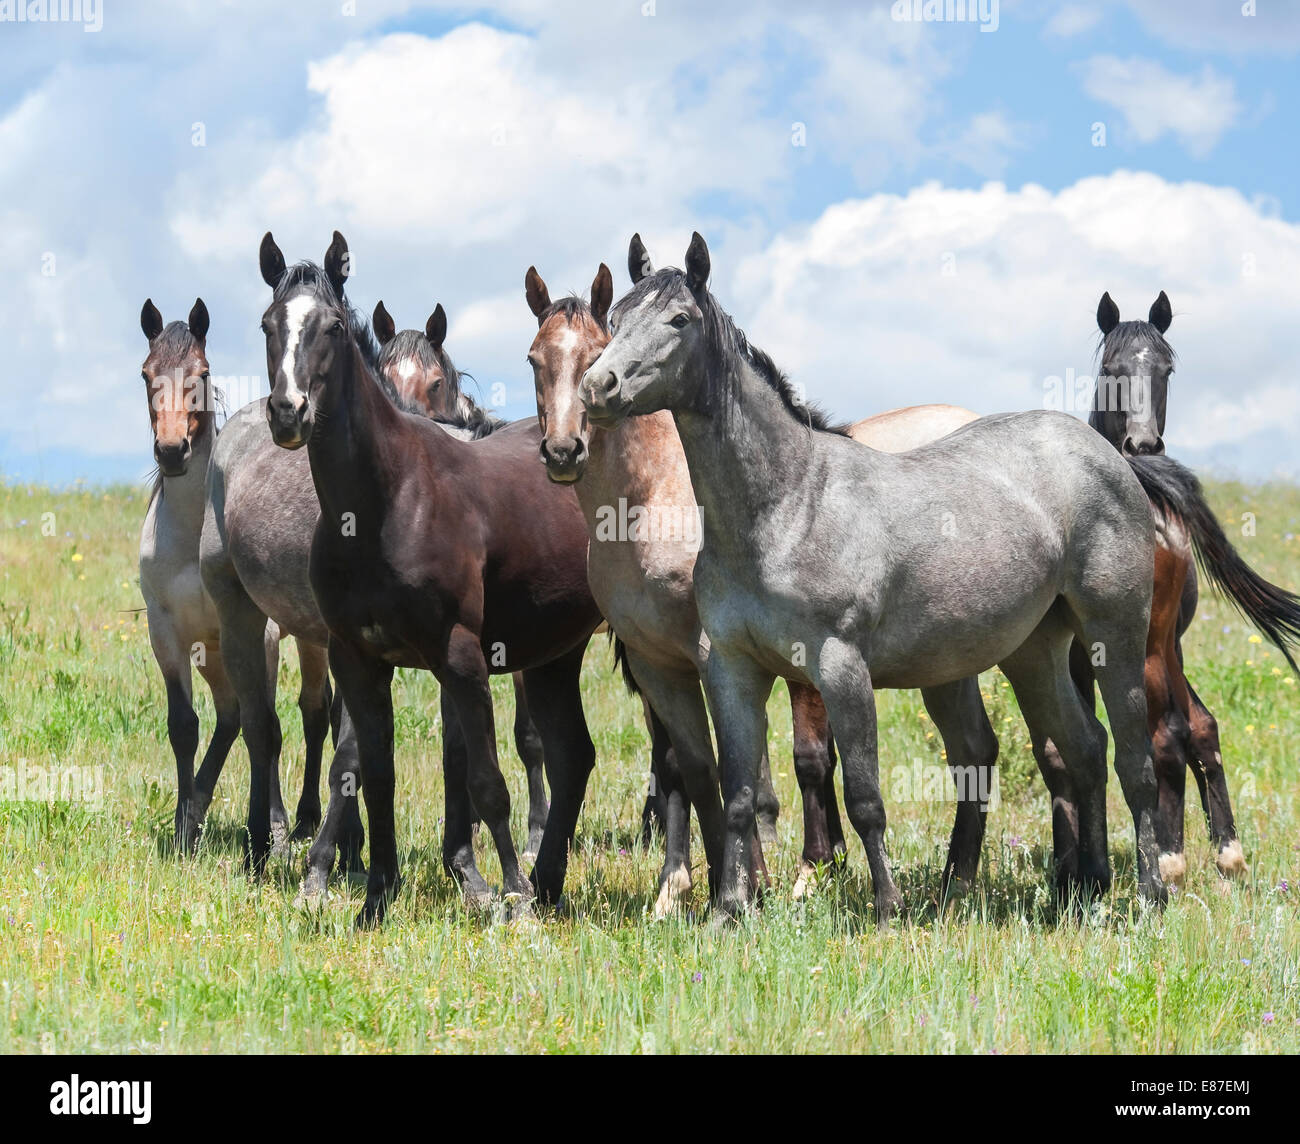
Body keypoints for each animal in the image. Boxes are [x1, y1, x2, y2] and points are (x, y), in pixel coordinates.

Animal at [139, 298, 328, 854]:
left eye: (201, 374)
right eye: (146, 375)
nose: (171, 451)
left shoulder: (261, 636)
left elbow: (270, 726)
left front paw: (275, 829)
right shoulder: (168, 635)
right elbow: (185, 726)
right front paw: (184, 826)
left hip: (308, 640)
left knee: (314, 713)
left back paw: (304, 820)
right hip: (212, 650)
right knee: (228, 716)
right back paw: (199, 808)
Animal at [259, 231, 602, 925]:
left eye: (333, 326)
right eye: (268, 324)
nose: (288, 411)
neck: (387, 500)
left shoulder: (461, 659)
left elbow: (485, 783)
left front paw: (510, 901)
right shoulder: (358, 659)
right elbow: (373, 775)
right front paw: (374, 900)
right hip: (556, 654)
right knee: (573, 756)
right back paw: (549, 882)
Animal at [528, 244, 991, 913]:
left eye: (593, 348)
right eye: (534, 359)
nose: (565, 449)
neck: (653, 498)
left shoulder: (718, 652)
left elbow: (769, 765)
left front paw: (759, 880)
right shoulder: (653, 659)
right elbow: (689, 768)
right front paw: (682, 889)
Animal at [580, 232, 1193, 922]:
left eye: (679, 320)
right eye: (615, 318)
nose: (598, 385)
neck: (786, 505)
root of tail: (1110, 456)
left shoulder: (840, 667)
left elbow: (864, 796)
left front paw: (886, 907)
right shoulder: (731, 670)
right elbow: (737, 795)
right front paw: (728, 911)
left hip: (1115, 635)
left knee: (1136, 762)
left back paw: (1149, 893)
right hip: (1035, 651)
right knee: (1084, 748)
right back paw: (1087, 889)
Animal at [1090, 291, 1300, 881]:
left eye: (1166, 370)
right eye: (1111, 369)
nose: (1143, 443)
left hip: (1146, 649)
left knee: (1167, 735)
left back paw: (1170, 857)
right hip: (1168, 645)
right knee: (1199, 726)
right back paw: (1224, 850)